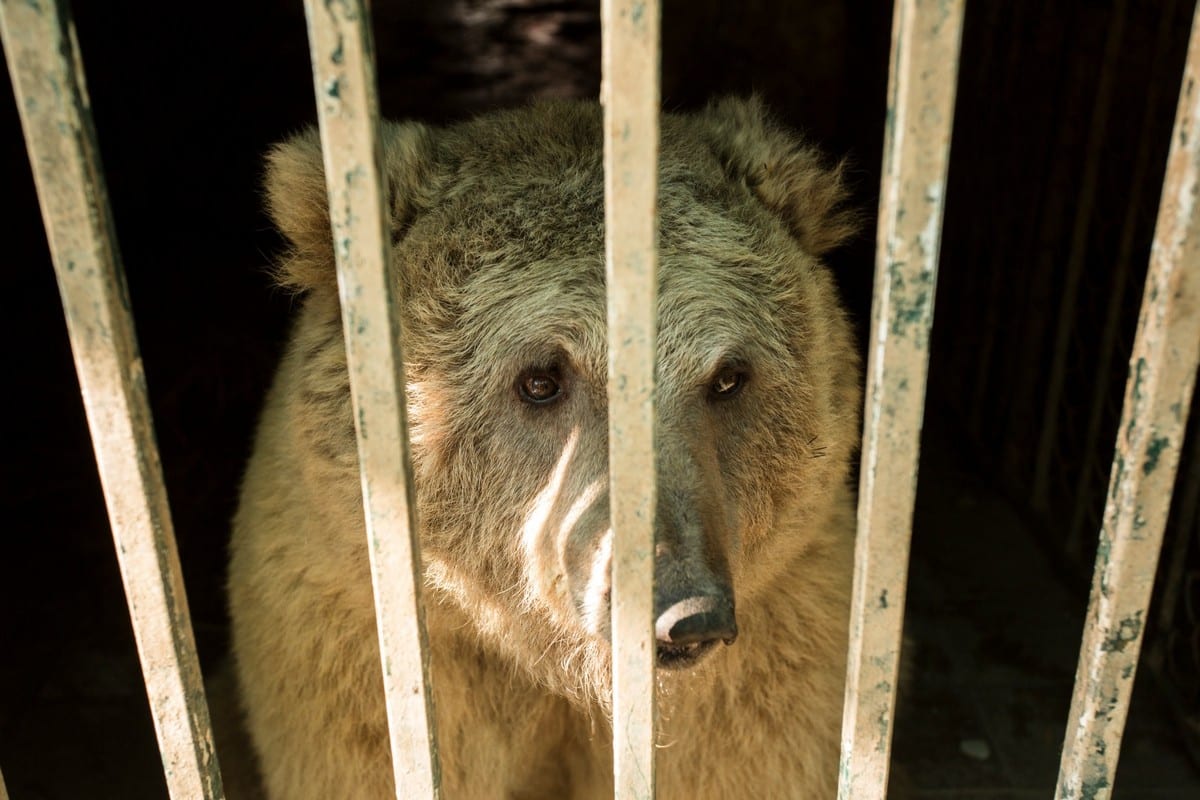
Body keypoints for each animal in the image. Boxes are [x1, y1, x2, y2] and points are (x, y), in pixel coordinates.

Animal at [227, 96, 862, 800]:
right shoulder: (361, 647)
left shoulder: (769, 666)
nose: (686, 611)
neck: (566, 671)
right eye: (540, 379)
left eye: (727, 378)